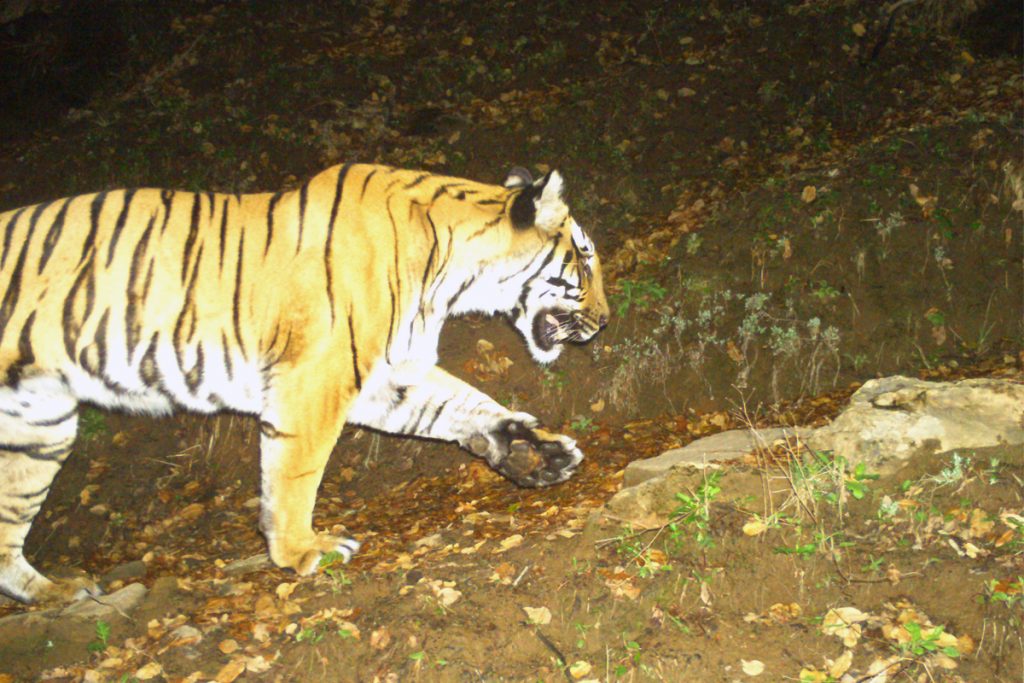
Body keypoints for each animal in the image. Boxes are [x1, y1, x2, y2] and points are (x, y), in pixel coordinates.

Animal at [0, 163, 608, 605]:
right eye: (583, 258)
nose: (605, 322)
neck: (449, 273)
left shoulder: (389, 372)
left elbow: (462, 403)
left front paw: (533, 453)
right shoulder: (317, 377)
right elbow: (294, 474)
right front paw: (301, 551)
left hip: (38, 426)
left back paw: (55, 593)